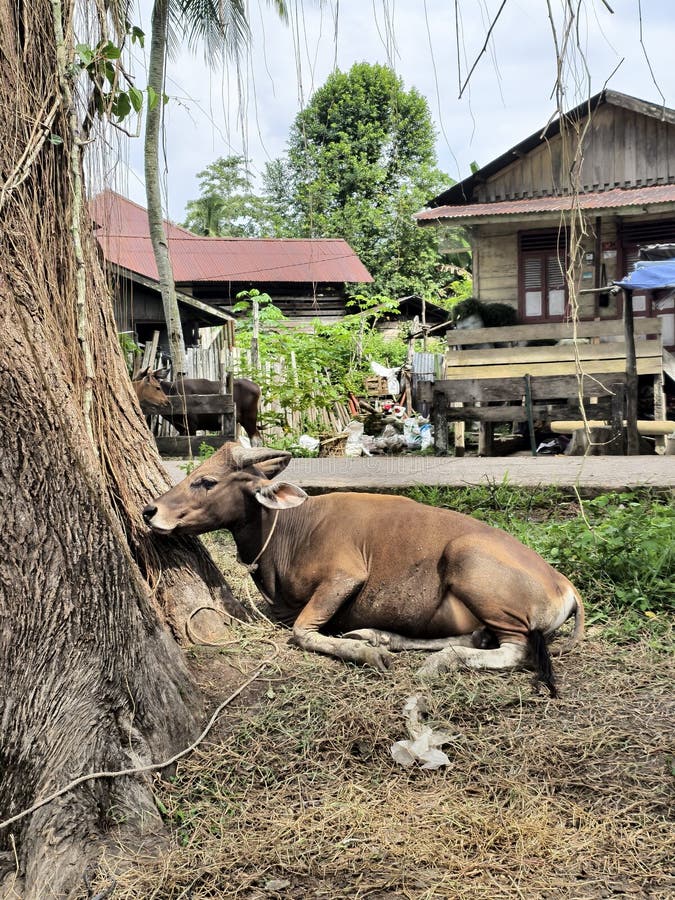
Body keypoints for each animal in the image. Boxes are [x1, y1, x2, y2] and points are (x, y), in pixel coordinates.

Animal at [134, 369, 263, 446]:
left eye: (142, 379)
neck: (174, 393)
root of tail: (258, 387)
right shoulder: (182, 428)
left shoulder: (192, 425)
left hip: (249, 418)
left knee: (256, 439)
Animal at [142, 444, 584, 696]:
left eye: (206, 481)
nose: (150, 510)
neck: (292, 528)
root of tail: (565, 584)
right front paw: (371, 645)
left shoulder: (344, 577)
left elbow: (302, 633)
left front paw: (366, 655)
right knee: (476, 637)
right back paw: (381, 636)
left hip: (468, 558)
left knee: (515, 651)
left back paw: (435, 661)